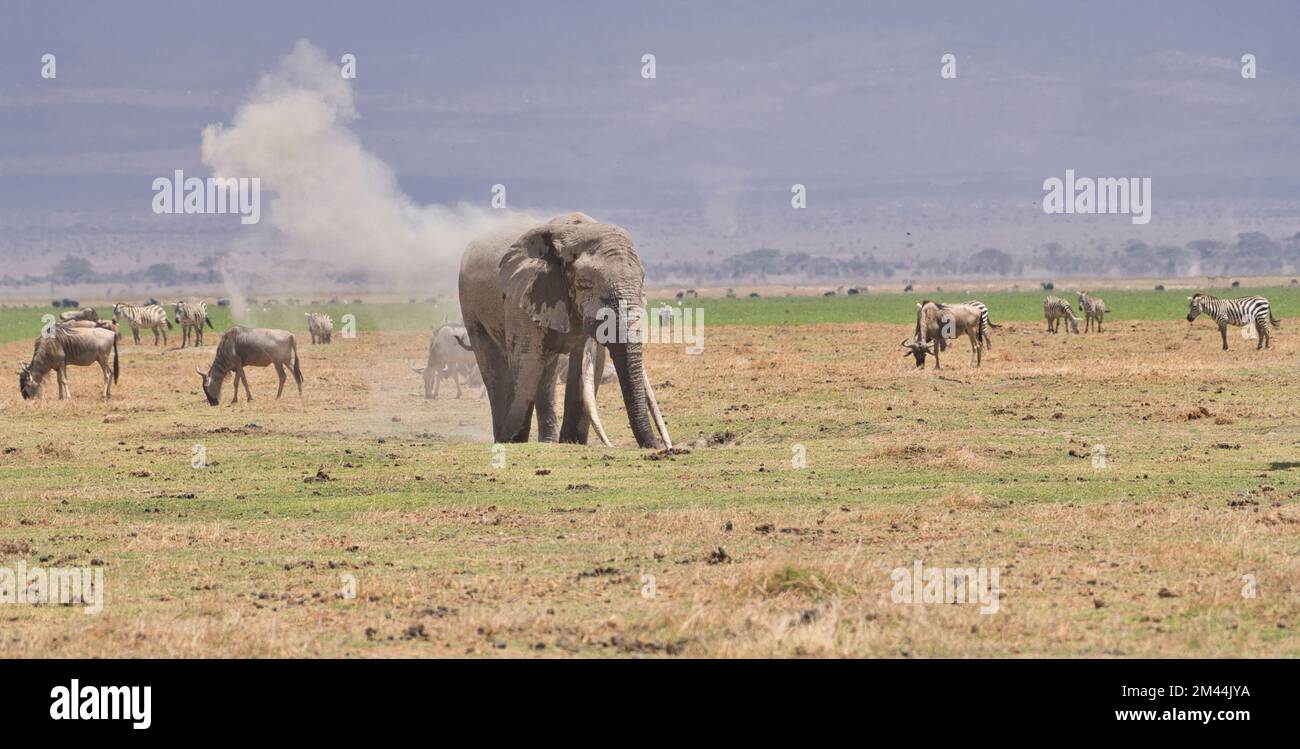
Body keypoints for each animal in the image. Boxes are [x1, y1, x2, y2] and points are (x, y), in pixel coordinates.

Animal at [458, 213, 671, 448]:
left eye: (642, 282)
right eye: (584, 284)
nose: (661, 447)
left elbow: (588, 365)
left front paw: (572, 442)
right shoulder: (524, 294)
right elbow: (528, 358)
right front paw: (513, 440)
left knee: (546, 373)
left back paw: (547, 442)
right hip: (469, 306)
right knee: (494, 366)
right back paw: (501, 439)